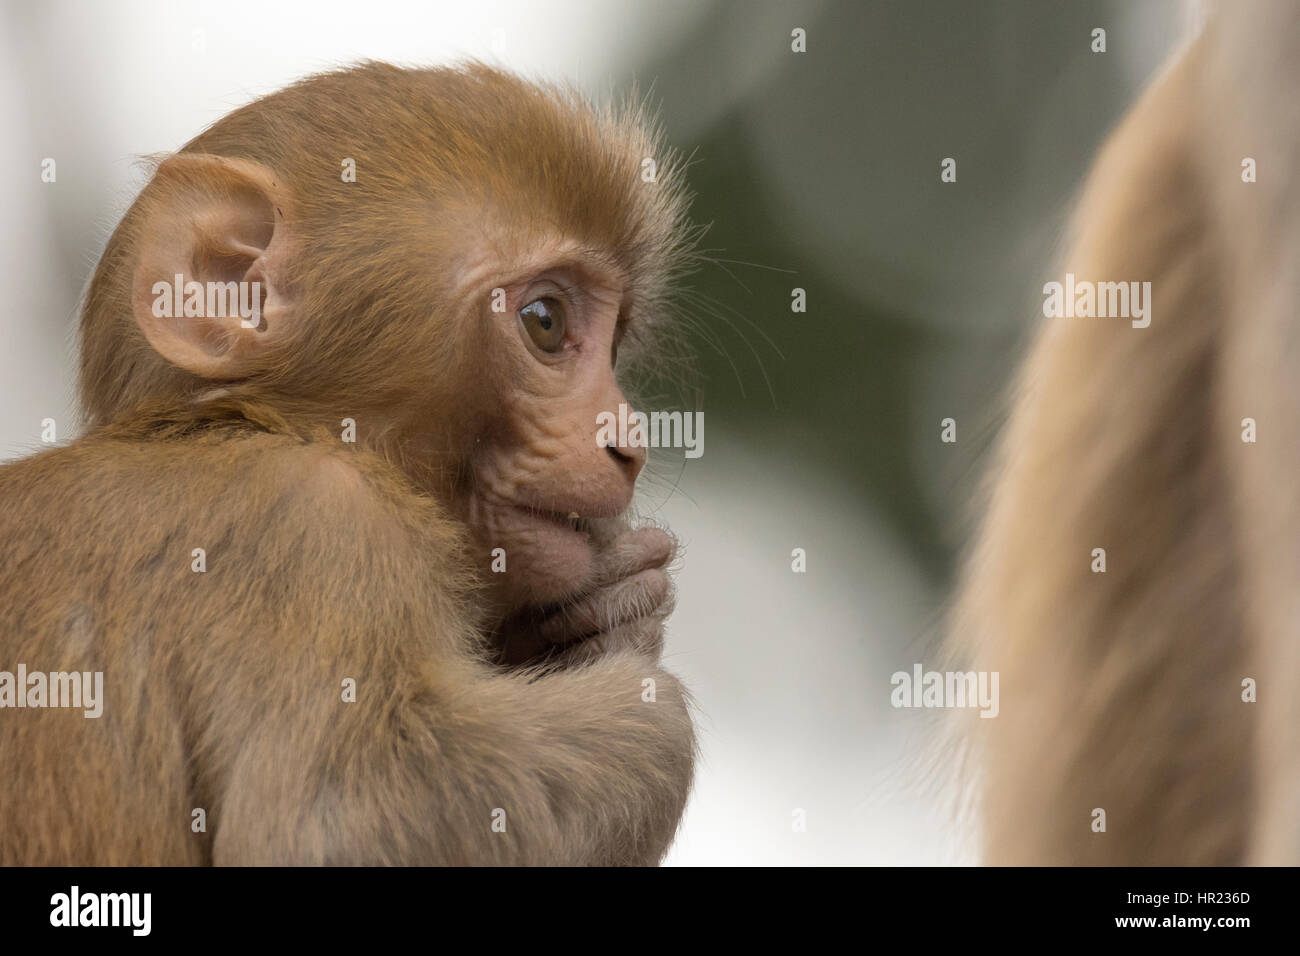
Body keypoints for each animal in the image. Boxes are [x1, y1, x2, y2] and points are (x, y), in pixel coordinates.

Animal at [0, 62, 697, 865]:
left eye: (614, 343)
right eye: (545, 322)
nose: (631, 443)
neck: (241, 424)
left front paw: (612, 608)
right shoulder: (315, 524)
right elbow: (332, 824)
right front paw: (649, 699)